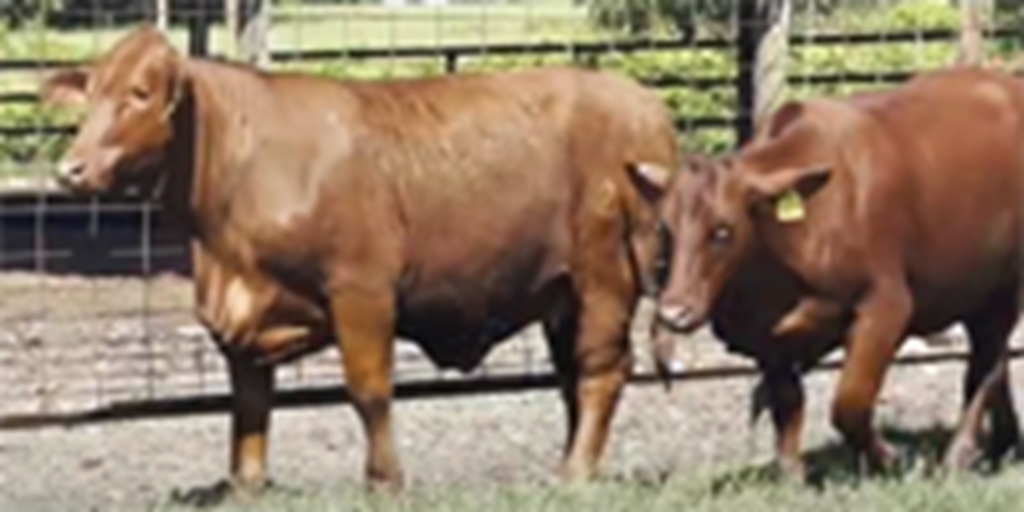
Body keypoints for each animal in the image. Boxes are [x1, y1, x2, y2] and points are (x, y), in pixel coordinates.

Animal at [40, 25, 680, 499]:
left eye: (140, 94)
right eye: (91, 94)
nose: (71, 170)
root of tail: (645, 102)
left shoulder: (362, 292)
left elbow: (368, 390)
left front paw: (384, 481)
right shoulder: (242, 310)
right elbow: (249, 404)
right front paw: (247, 486)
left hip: (606, 275)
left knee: (602, 370)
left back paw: (575, 472)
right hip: (561, 292)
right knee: (572, 375)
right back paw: (575, 461)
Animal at [632, 67, 1024, 479]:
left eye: (723, 231)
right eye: (664, 229)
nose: (674, 311)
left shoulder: (886, 305)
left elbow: (850, 403)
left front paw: (888, 458)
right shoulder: (770, 336)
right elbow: (786, 404)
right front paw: (791, 476)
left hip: (1003, 286)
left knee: (985, 363)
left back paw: (959, 453)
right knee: (995, 360)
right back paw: (1002, 442)